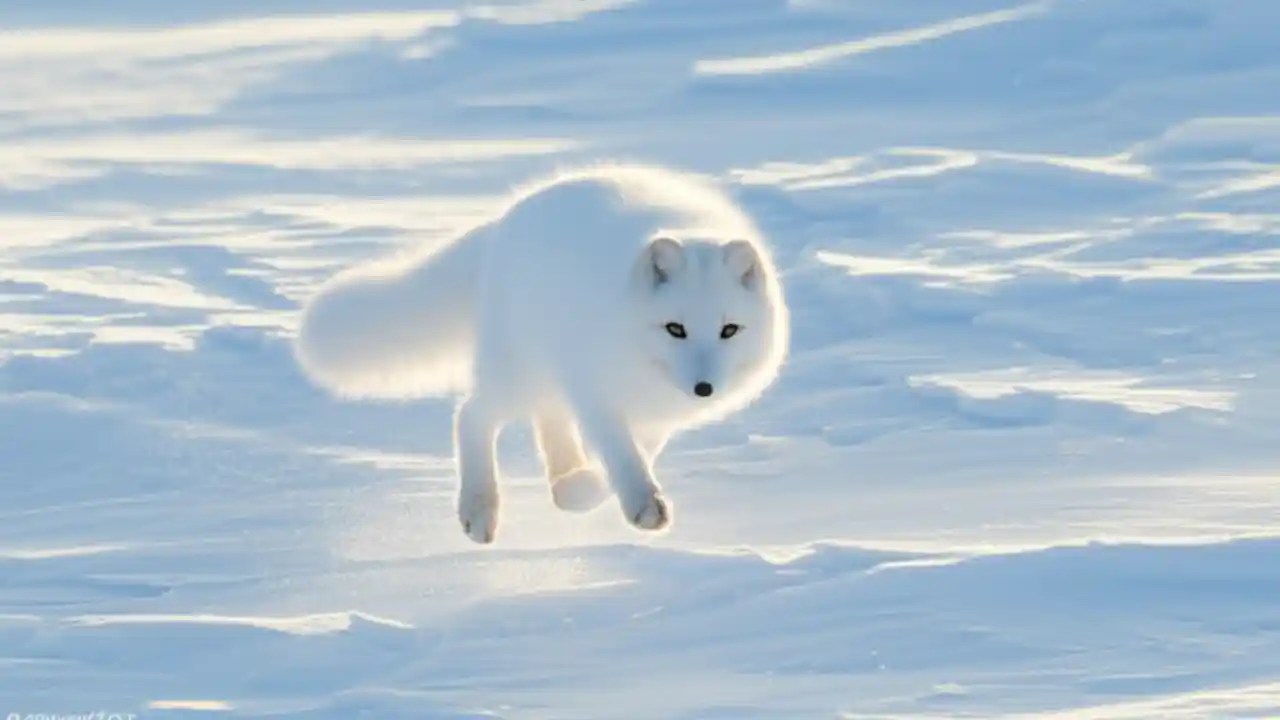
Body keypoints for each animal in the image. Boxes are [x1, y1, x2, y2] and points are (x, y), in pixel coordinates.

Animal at [295, 165, 789, 543]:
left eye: (729, 330)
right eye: (675, 329)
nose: (704, 389)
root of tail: (504, 222)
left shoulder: (655, 416)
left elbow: (633, 455)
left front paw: (583, 491)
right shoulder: (597, 392)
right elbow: (622, 455)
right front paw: (640, 503)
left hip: (548, 374)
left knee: (545, 419)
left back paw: (565, 478)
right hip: (519, 373)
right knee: (470, 415)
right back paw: (480, 509)